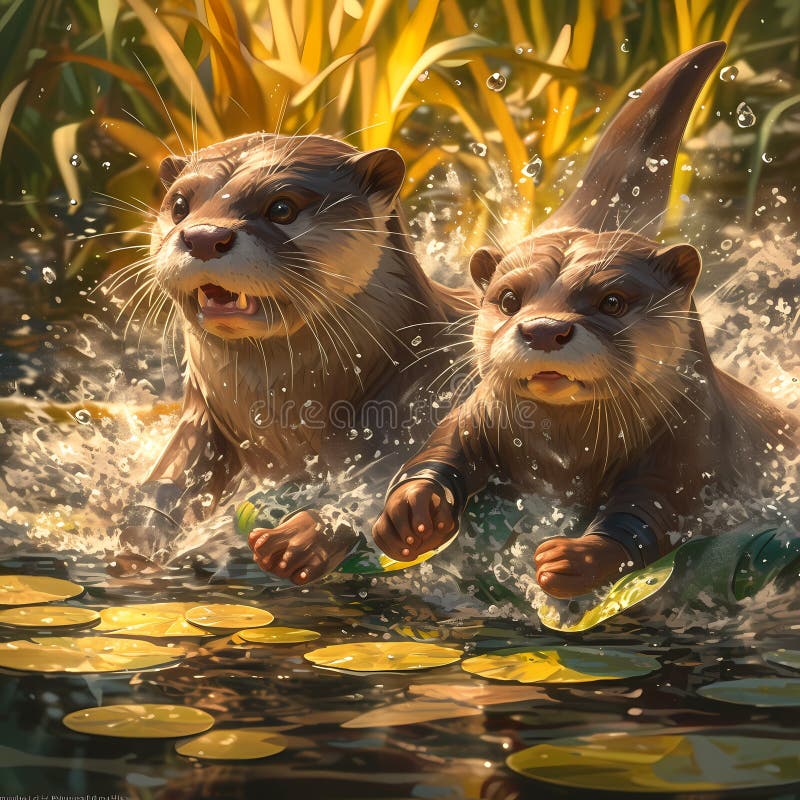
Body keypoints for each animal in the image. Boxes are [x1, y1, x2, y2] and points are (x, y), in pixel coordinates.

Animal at [143, 133, 473, 581]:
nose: (204, 237)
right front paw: (142, 539)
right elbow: (175, 473)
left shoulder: (420, 399)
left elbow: (381, 477)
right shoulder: (204, 414)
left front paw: (301, 538)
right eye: (179, 205)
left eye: (282, 208)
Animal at [371, 41, 798, 598]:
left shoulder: (689, 450)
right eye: (509, 300)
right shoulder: (482, 412)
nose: (543, 329)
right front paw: (411, 511)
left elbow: (647, 515)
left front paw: (574, 558)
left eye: (612, 301)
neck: (566, 457)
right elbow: (442, 447)